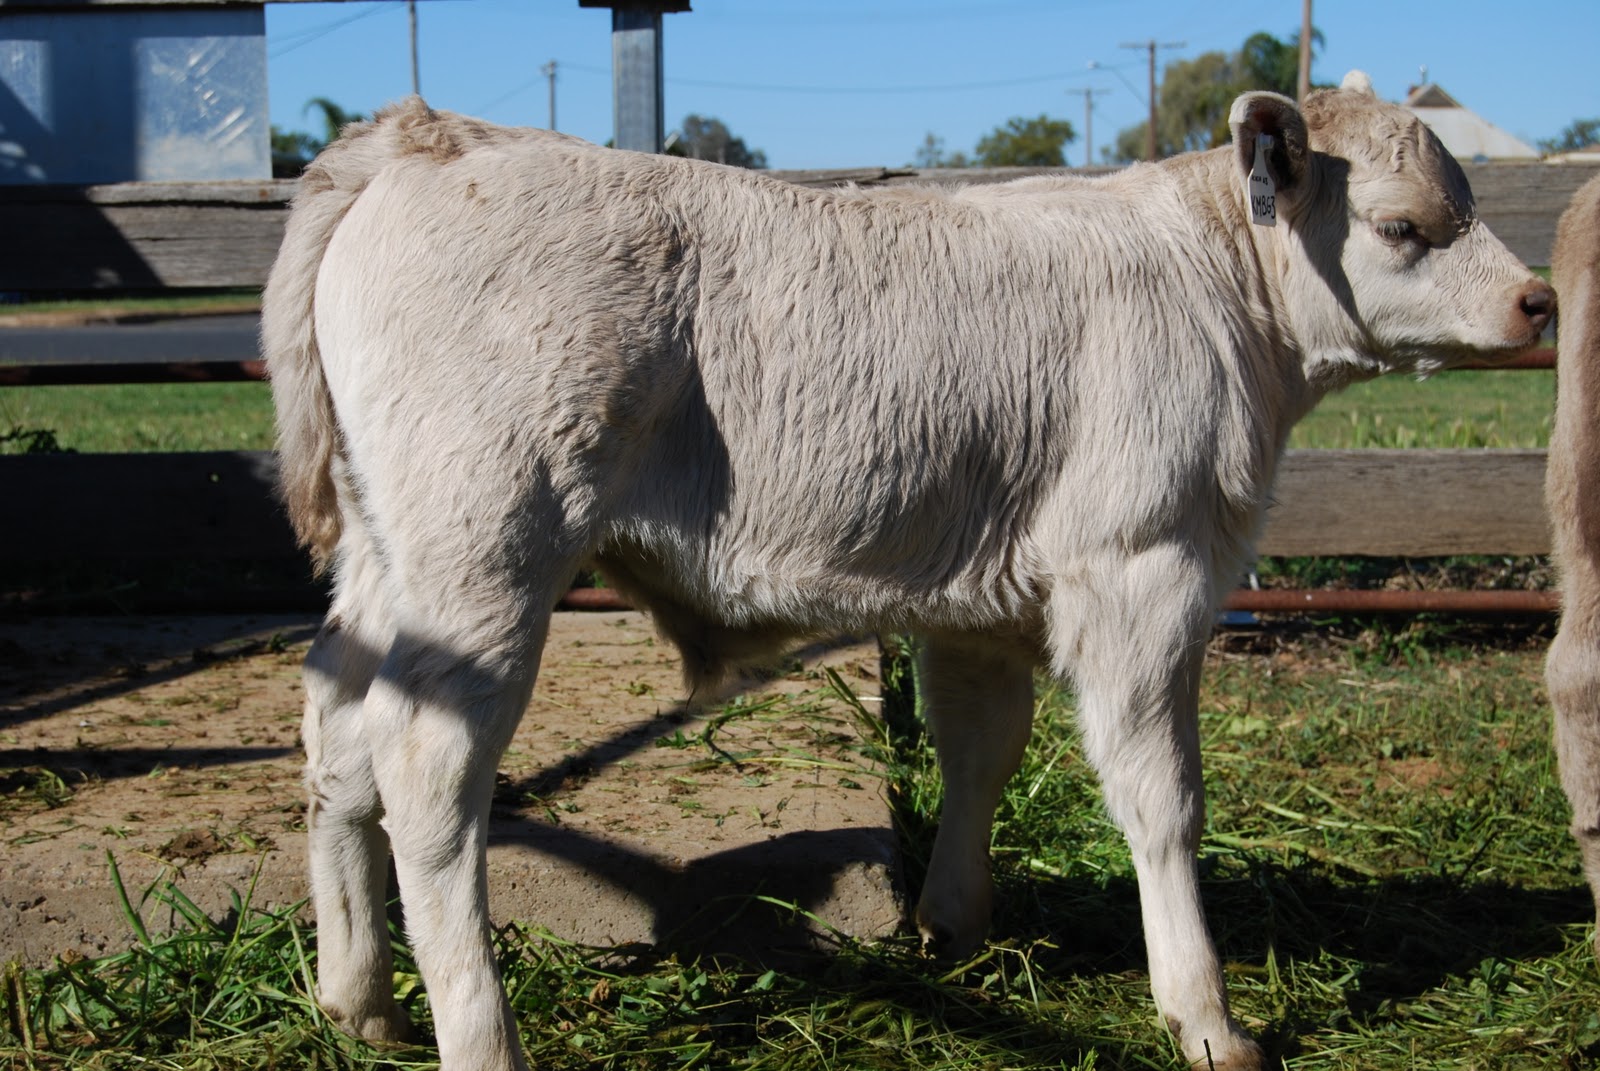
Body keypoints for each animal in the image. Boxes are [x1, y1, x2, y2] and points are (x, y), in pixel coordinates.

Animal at [263, 71, 1552, 1071]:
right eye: (1405, 227)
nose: (1539, 299)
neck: (1214, 287)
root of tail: (431, 133)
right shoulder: (1142, 572)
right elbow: (1160, 798)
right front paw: (1204, 1015)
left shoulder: (981, 599)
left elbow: (981, 750)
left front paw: (952, 924)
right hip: (484, 554)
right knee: (428, 774)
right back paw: (477, 1037)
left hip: (389, 562)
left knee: (337, 727)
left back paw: (356, 1001)